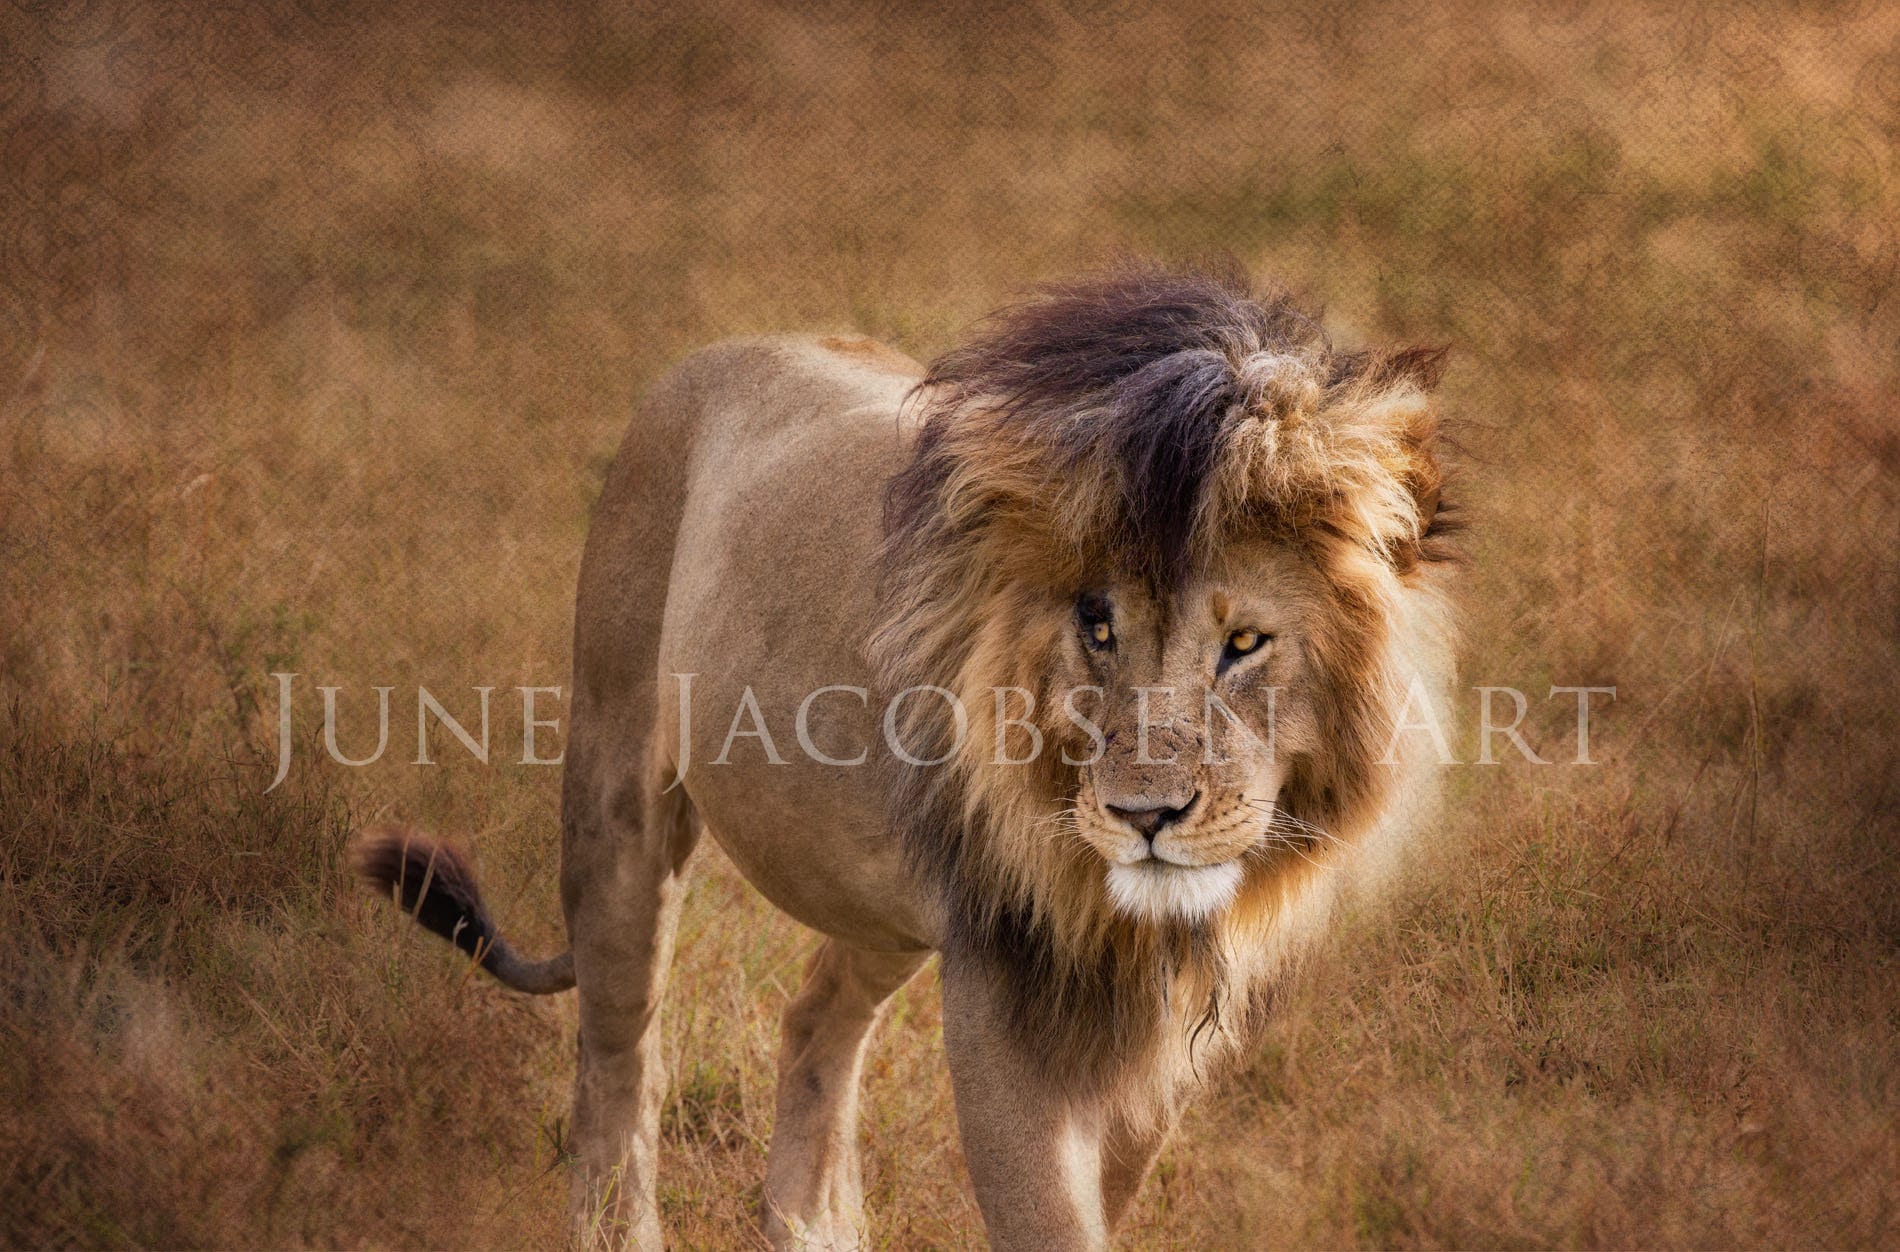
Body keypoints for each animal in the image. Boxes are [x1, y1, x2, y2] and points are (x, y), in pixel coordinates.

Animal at [357, 261, 1459, 1250]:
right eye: (1095, 623)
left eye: (1244, 643)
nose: (1144, 816)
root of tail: (726, 351)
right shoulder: (1002, 999)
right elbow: (1052, 1220)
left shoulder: (1152, 1031)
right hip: (618, 794)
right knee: (617, 1062)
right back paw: (621, 1229)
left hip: (878, 897)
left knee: (813, 1020)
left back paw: (811, 1231)